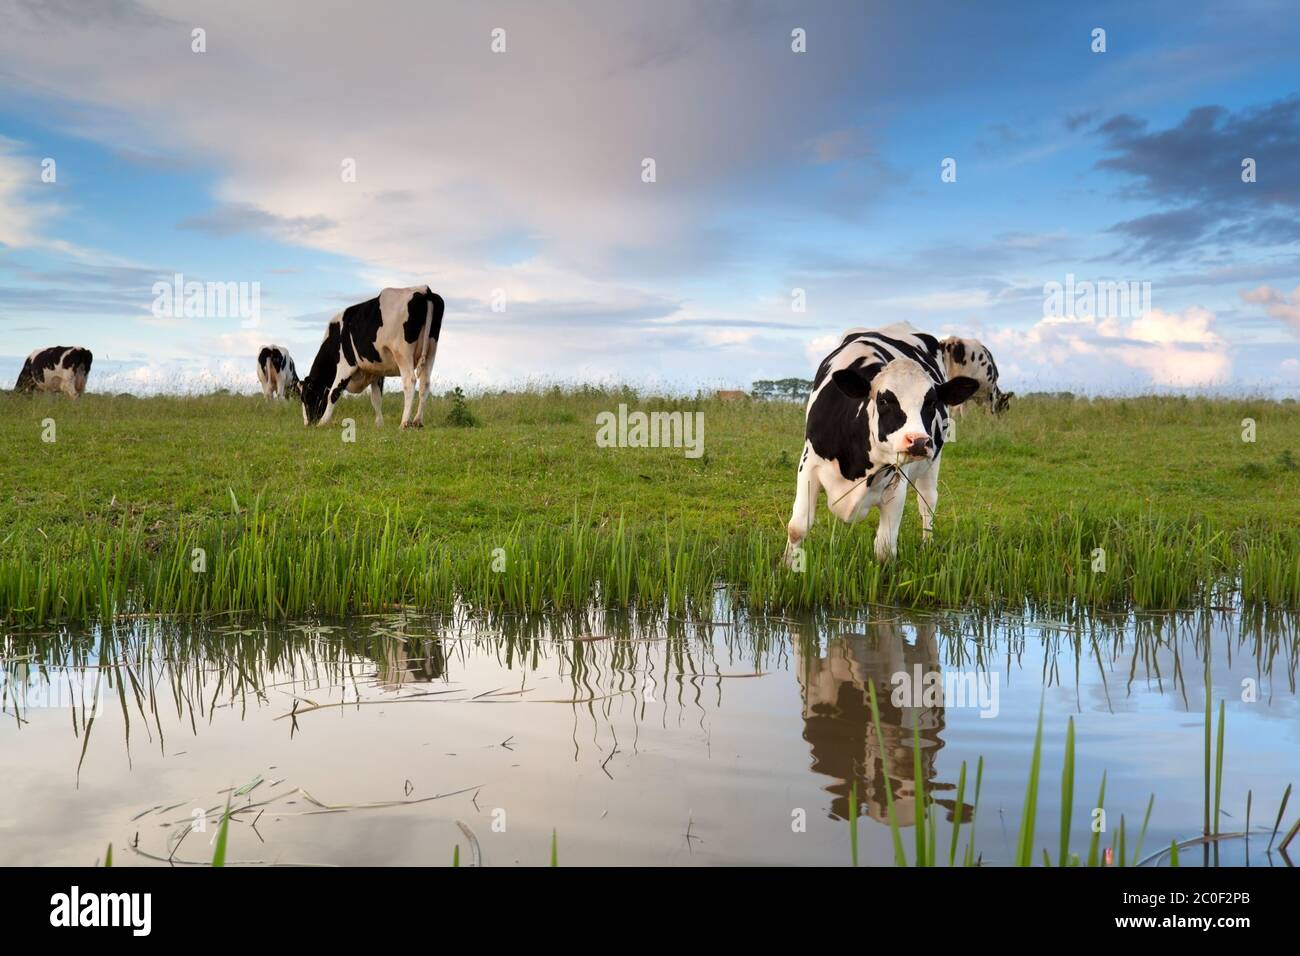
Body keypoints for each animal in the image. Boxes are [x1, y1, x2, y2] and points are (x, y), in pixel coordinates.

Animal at [300, 285, 444, 428]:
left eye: (307, 397)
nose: (307, 424)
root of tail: (424, 290)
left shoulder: (345, 366)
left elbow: (333, 393)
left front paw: (322, 422)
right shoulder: (376, 372)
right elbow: (376, 398)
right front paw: (379, 424)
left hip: (402, 352)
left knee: (410, 381)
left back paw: (404, 423)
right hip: (431, 350)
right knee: (425, 383)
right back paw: (417, 421)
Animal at [785, 323, 979, 564]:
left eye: (932, 402)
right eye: (884, 400)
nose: (919, 441)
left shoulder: (898, 482)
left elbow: (885, 549)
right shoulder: (809, 465)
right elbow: (798, 527)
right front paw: (788, 566)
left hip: (933, 461)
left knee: (927, 501)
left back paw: (927, 545)